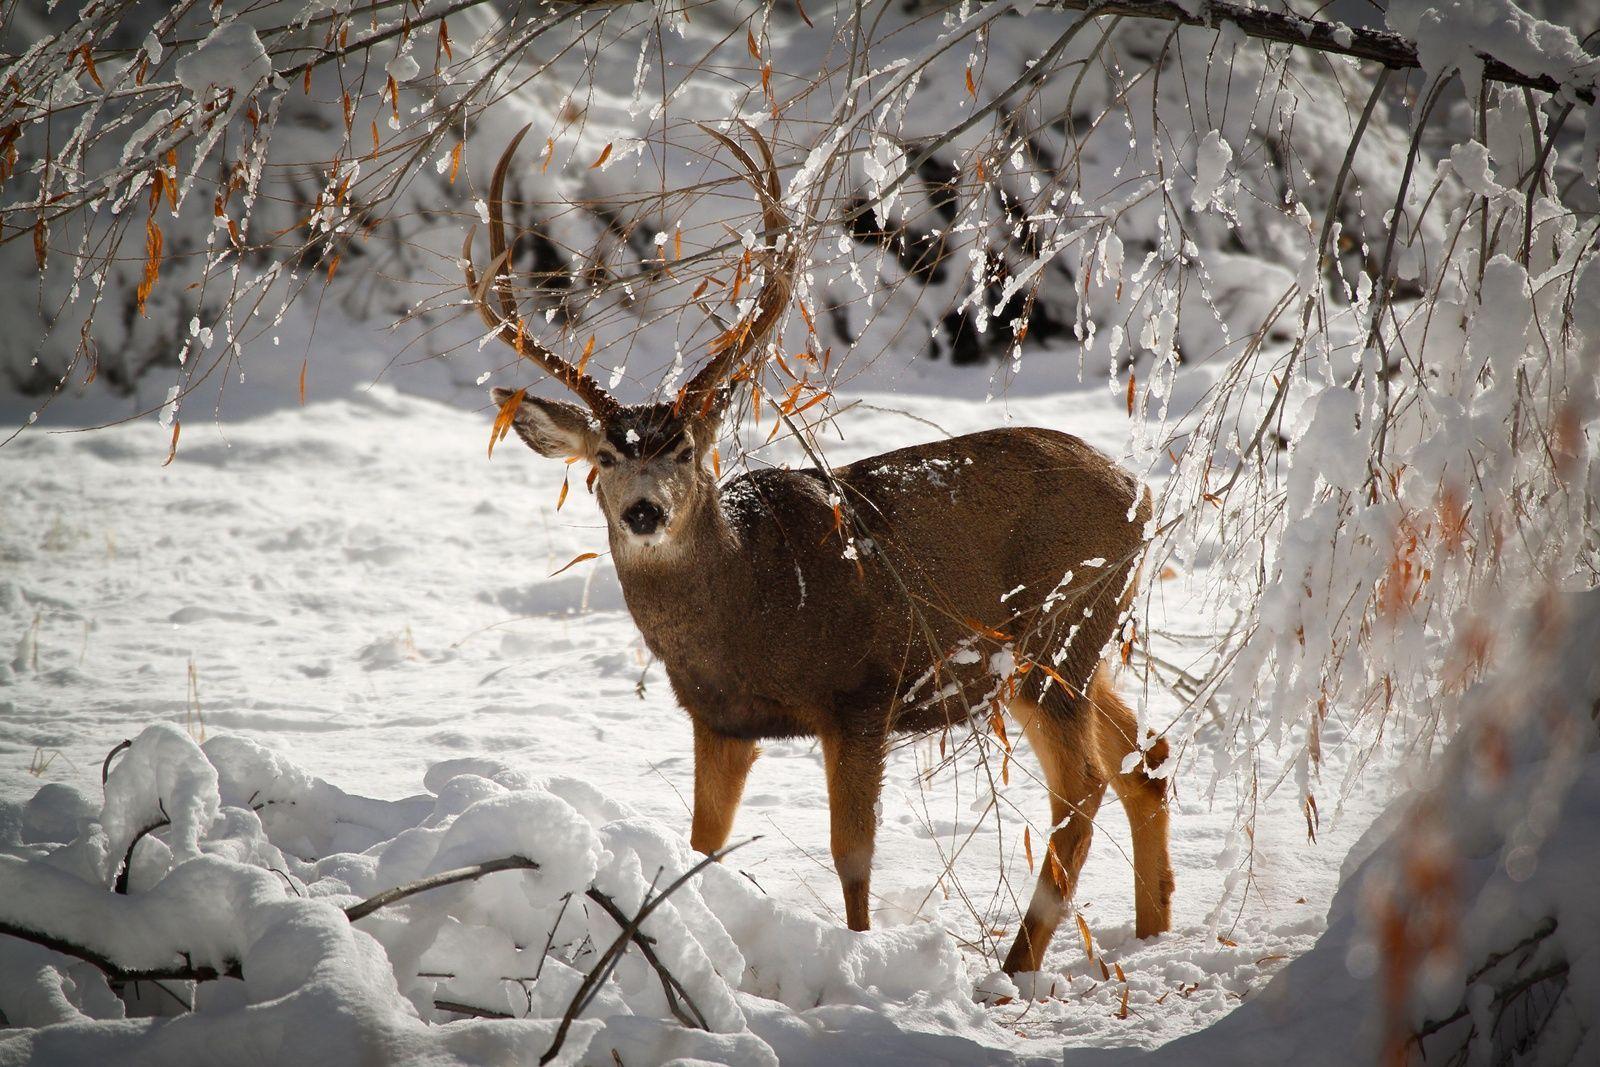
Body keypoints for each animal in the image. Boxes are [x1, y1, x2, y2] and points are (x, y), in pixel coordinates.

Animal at [468, 122, 1173, 976]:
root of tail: (1140, 492)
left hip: (1051, 634)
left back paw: (1014, 966)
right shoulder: (720, 719)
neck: (751, 600)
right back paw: (1152, 932)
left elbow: (852, 854)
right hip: (1085, 641)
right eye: (604, 456)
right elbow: (702, 843)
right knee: (1147, 758)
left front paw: (859, 958)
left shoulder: (862, 690)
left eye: (688, 449)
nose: (643, 510)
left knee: (1083, 789)